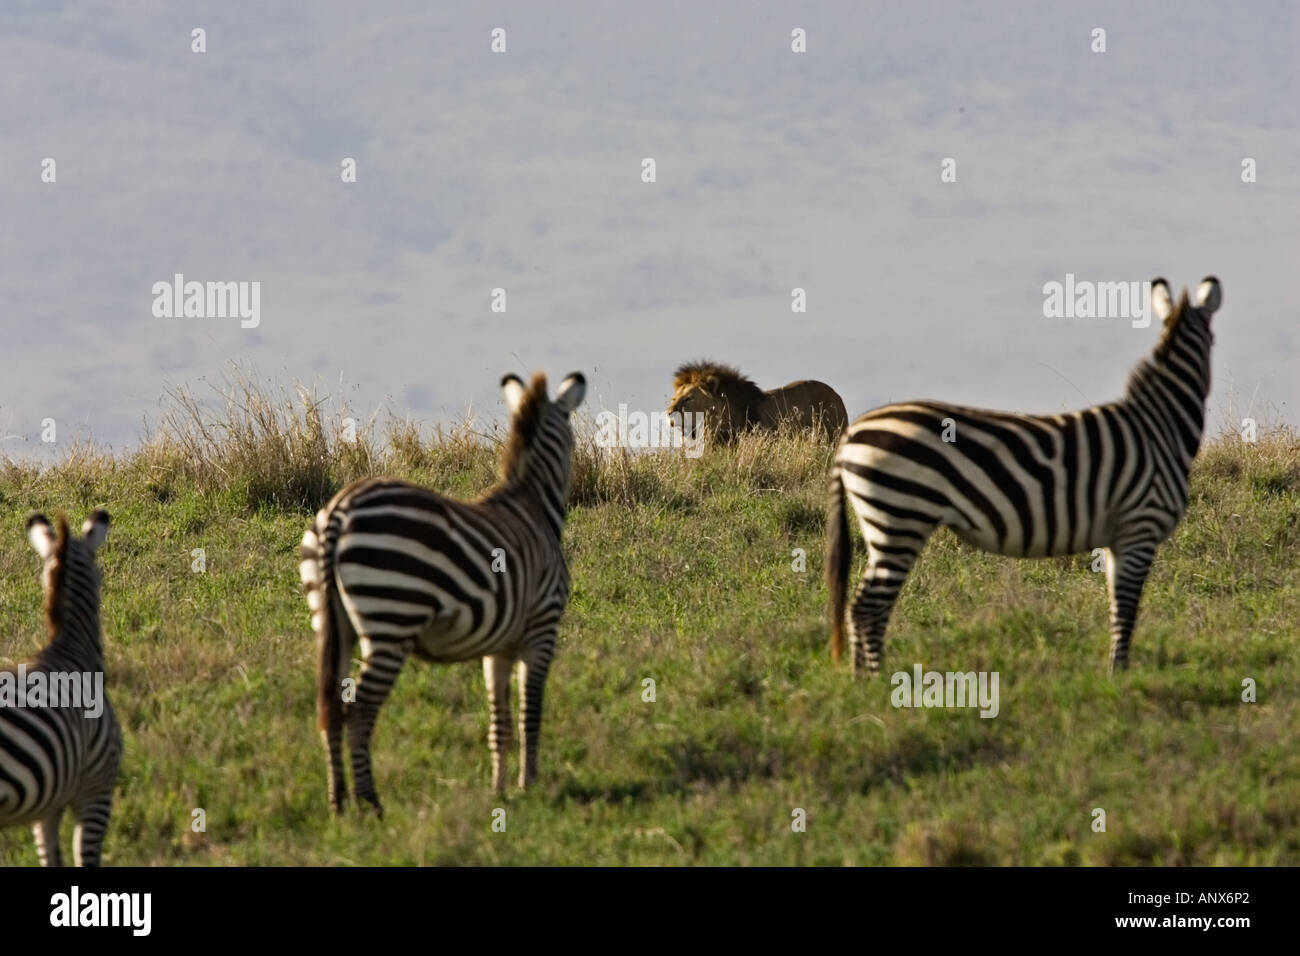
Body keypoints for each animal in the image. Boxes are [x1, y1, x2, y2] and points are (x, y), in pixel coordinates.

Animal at [300, 371, 586, 815]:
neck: (533, 505)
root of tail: (338, 514)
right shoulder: (543, 629)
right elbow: (530, 713)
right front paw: (529, 785)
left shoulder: (498, 647)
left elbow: (500, 722)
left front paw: (498, 788)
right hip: (391, 618)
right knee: (360, 713)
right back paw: (373, 805)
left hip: (331, 622)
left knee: (330, 707)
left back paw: (339, 804)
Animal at [827, 276, 1222, 676]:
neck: (1160, 426)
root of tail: (850, 437)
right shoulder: (1140, 526)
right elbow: (1127, 610)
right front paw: (1120, 675)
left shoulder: (1118, 537)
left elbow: (1117, 606)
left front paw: (1114, 670)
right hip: (901, 517)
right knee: (868, 607)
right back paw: (876, 681)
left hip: (884, 522)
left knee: (858, 606)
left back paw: (860, 680)